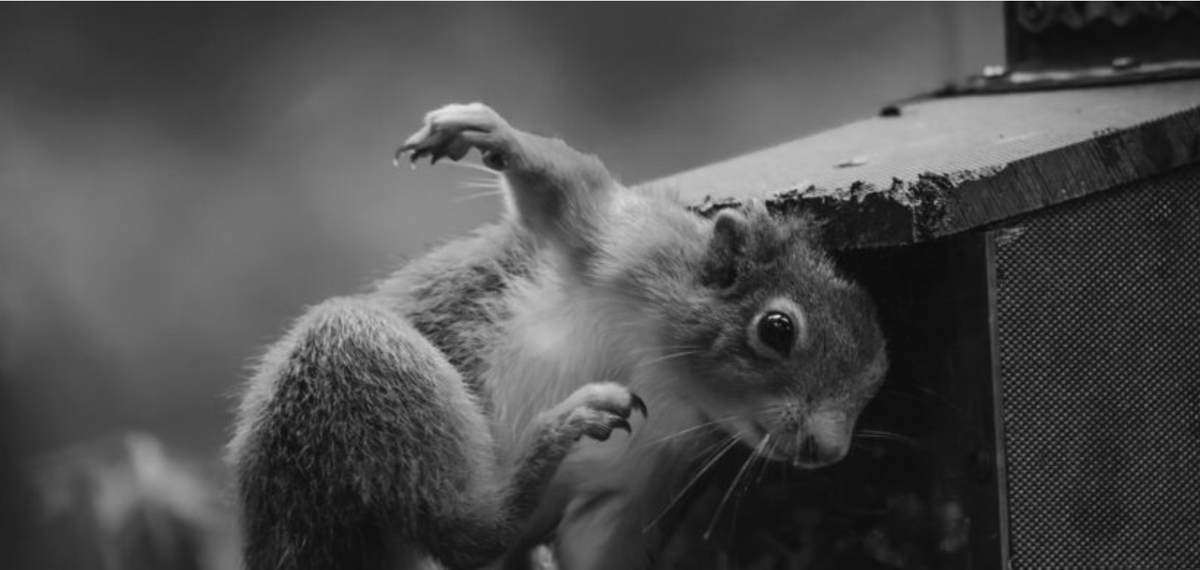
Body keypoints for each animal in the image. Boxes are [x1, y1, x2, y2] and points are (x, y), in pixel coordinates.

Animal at [228, 103, 888, 570]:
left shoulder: (635, 489)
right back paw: (560, 429)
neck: (676, 383)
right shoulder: (628, 243)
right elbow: (564, 189)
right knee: (469, 534)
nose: (827, 450)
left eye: (878, 377)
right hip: (352, 357)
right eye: (777, 329)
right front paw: (489, 132)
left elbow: (594, 548)